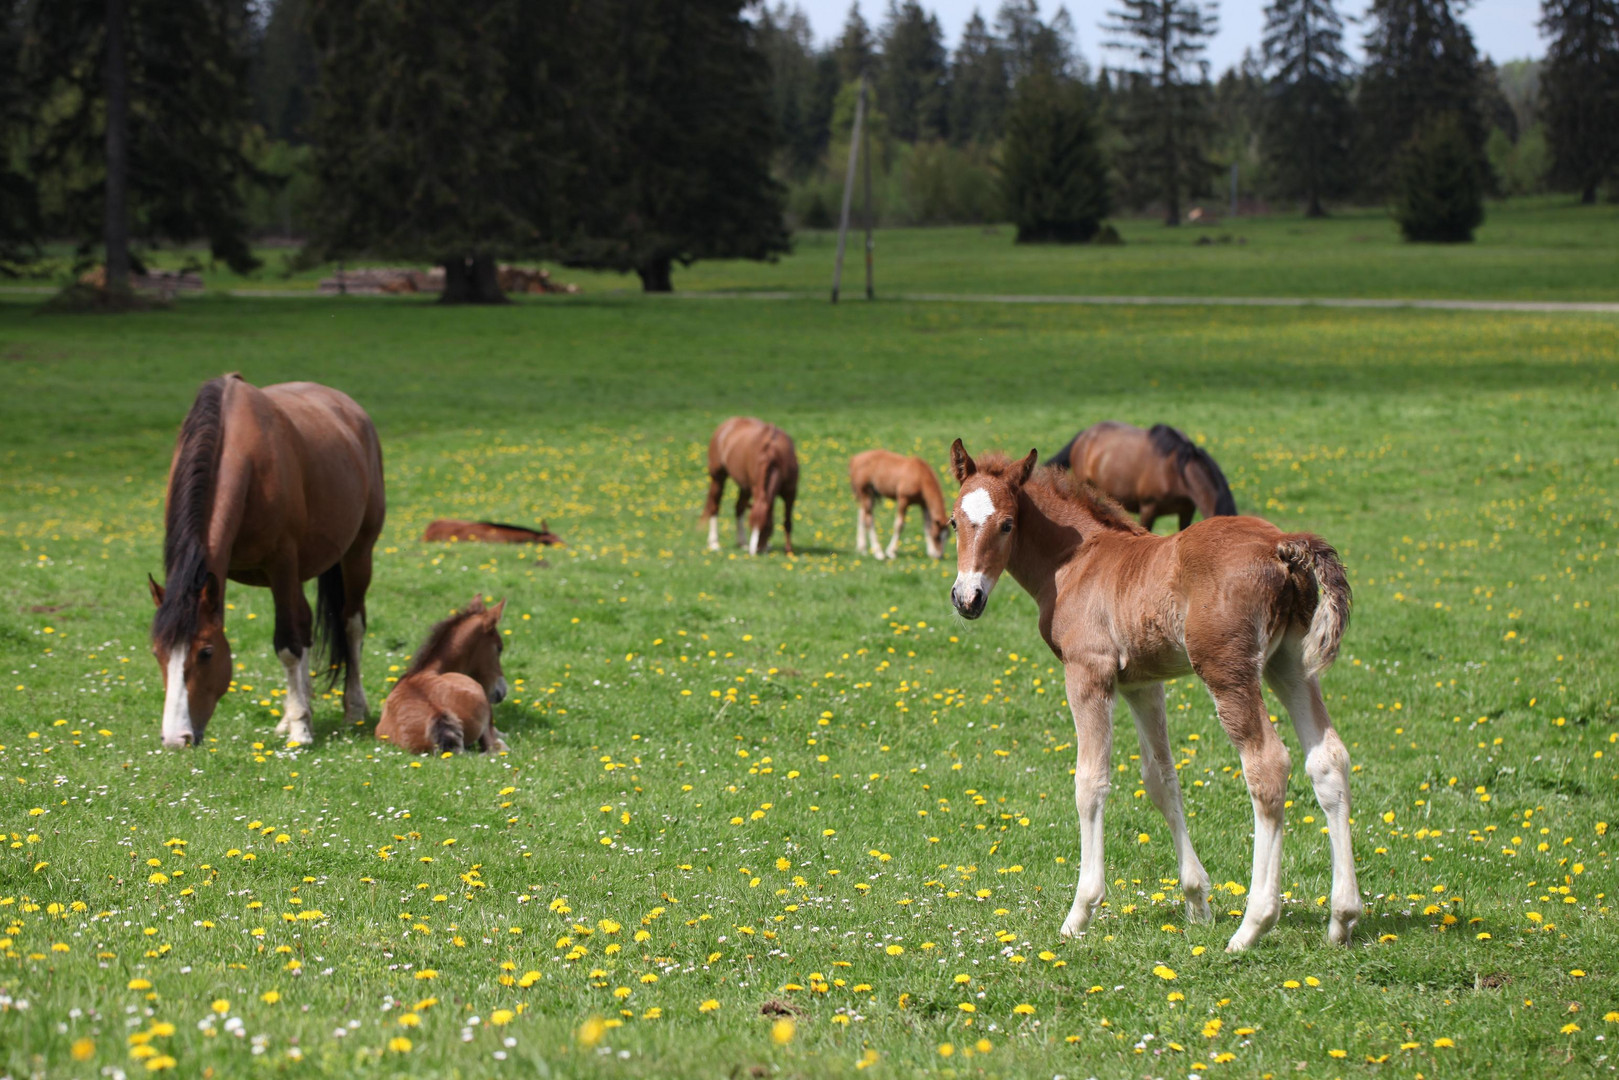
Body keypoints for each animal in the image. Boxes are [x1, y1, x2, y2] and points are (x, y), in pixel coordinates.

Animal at [147, 374, 385, 749]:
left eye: (206, 652)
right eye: (158, 653)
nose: (175, 738)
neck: (245, 456)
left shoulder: (282, 564)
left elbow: (287, 643)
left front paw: (301, 730)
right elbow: (297, 637)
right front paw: (297, 719)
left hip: (358, 553)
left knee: (352, 624)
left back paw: (354, 709)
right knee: (306, 626)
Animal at [703, 417, 799, 555]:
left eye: (766, 526)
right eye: (751, 525)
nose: (754, 552)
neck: (775, 456)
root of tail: (727, 424)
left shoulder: (791, 492)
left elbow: (787, 521)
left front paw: (789, 550)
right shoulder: (757, 489)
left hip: (745, 487)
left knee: (739, 507)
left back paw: (742, 542)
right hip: (718, 479)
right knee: (714, 507)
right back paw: (714, 543)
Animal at [947, 439, 1358, 952]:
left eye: (1006, 524)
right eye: (953, 522)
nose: (968, 599)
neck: (1077, 562)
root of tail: (1281, 545)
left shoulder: (1089, 673)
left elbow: (1090, 783)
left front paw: (1080, 912)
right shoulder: (1142, 685)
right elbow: (1161, 779)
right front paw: (1197, 901)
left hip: (1228, 671)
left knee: (1267, 766)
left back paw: (1253, 925)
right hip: (1290, 662)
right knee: (1328, 759)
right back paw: (1342, 918)